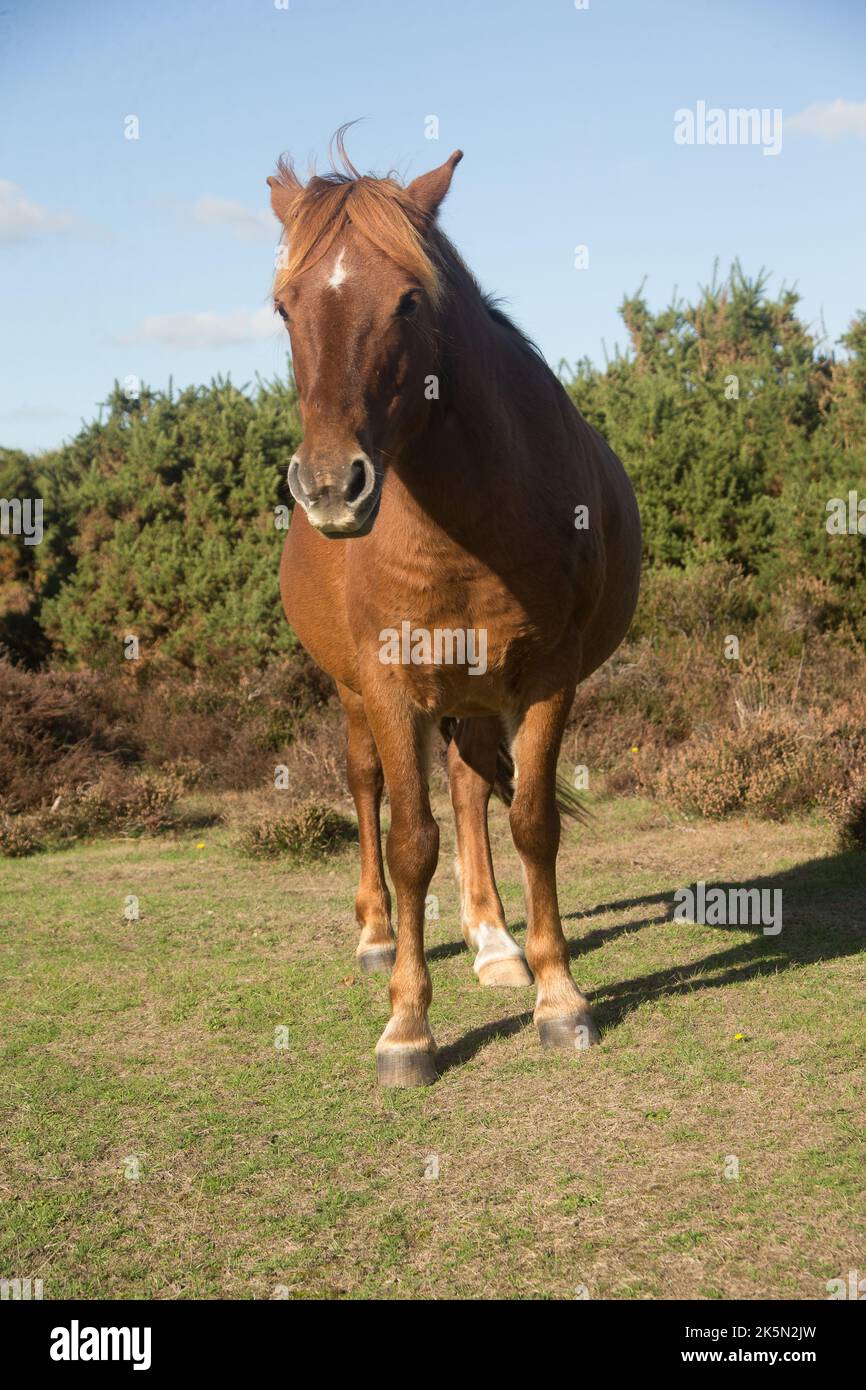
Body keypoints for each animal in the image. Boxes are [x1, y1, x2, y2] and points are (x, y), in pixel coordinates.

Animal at [267, 137, 641, 1086]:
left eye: (409, 298)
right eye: (285, 306)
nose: (332, 487)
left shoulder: (545, 678)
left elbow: (531, 823)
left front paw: (558, 995)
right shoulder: (390, 683)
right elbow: (411, 841)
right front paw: (407, 1028)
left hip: (474, 691)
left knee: (473, 787)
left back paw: (492, 940)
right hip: (356, 695)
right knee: (366, 788)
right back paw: (375, 933)